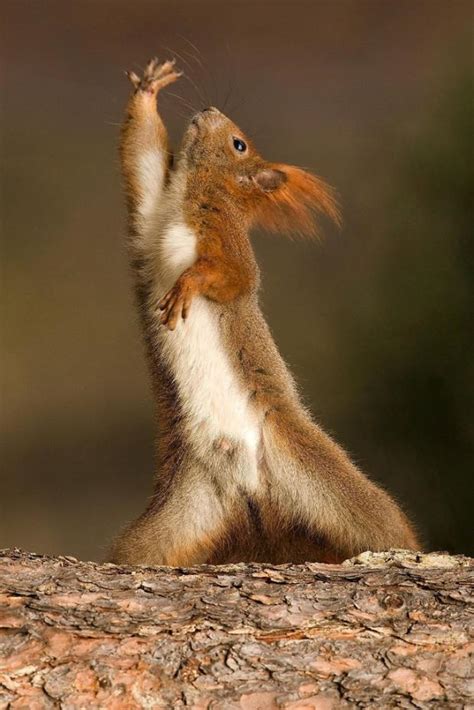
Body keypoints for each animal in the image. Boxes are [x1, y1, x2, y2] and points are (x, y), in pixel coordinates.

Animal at [109, 58, 420, 566]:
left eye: (239, 144)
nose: (209, 110)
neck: (189, 196)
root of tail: (250, 489)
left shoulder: (227, 242)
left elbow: (231, 276)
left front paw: (187, 286)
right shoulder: (150, 211)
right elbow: (141, 160)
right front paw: (149, 91)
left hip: (333, 486)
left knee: (384, 529)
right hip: (174, 519)